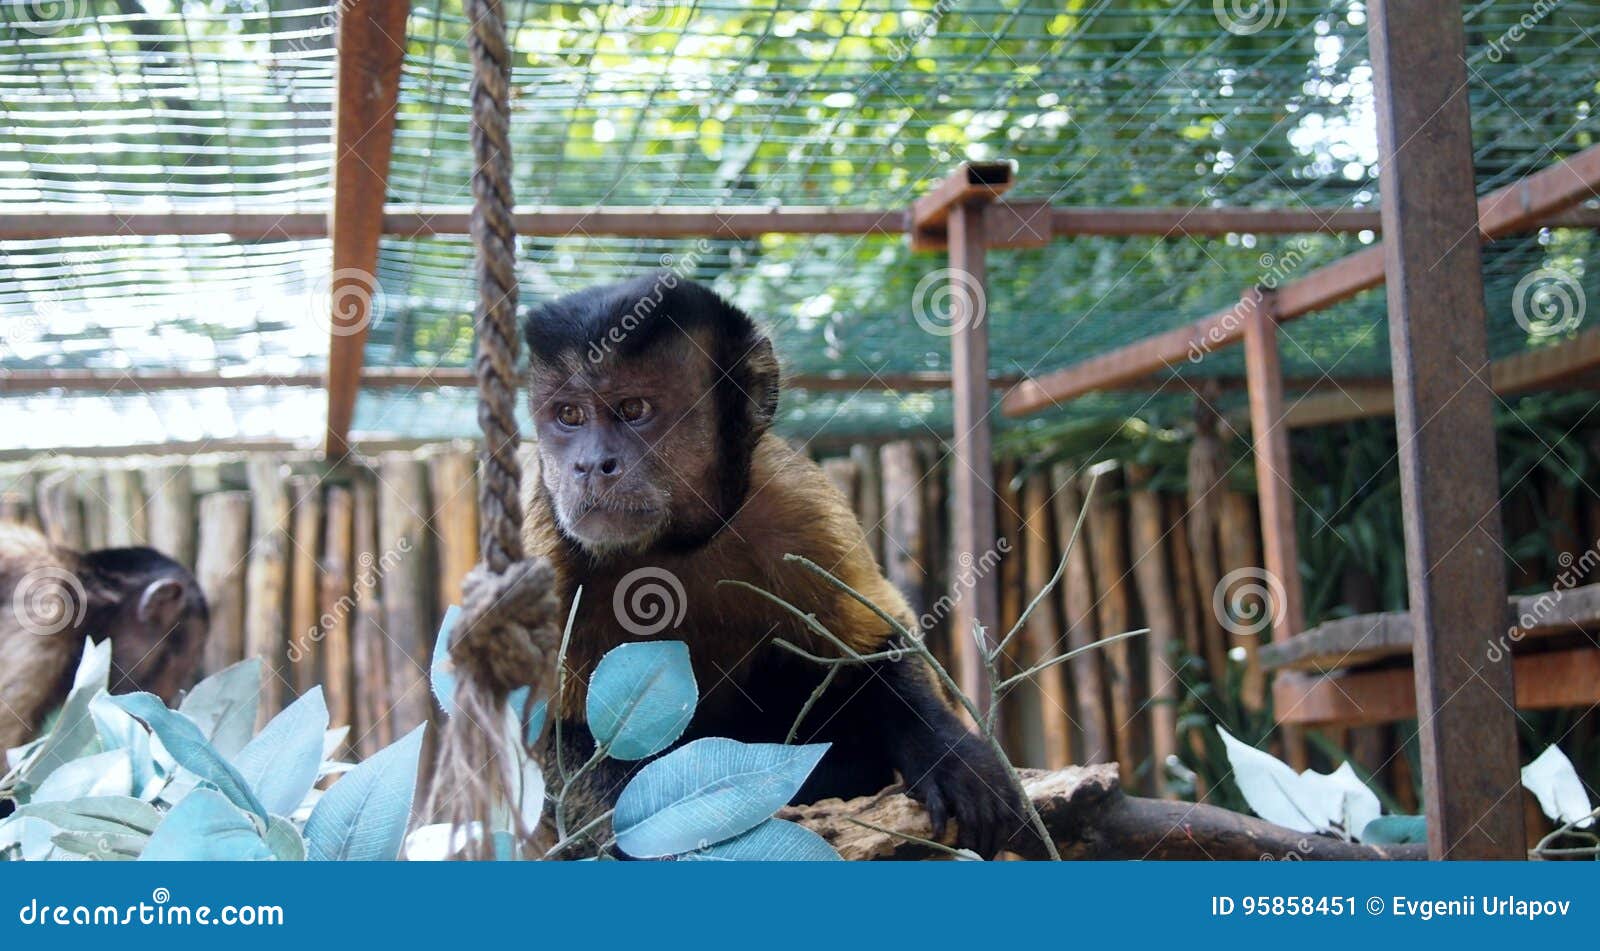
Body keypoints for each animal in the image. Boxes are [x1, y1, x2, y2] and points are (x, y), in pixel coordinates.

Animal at [521, 275, 1024, 858]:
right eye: (570, 417)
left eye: (633, 409)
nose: (588, 465)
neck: (674, 545)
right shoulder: (544, 540)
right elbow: (560, 732)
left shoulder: (797, 503)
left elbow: (872, 645)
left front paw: (951, 754)